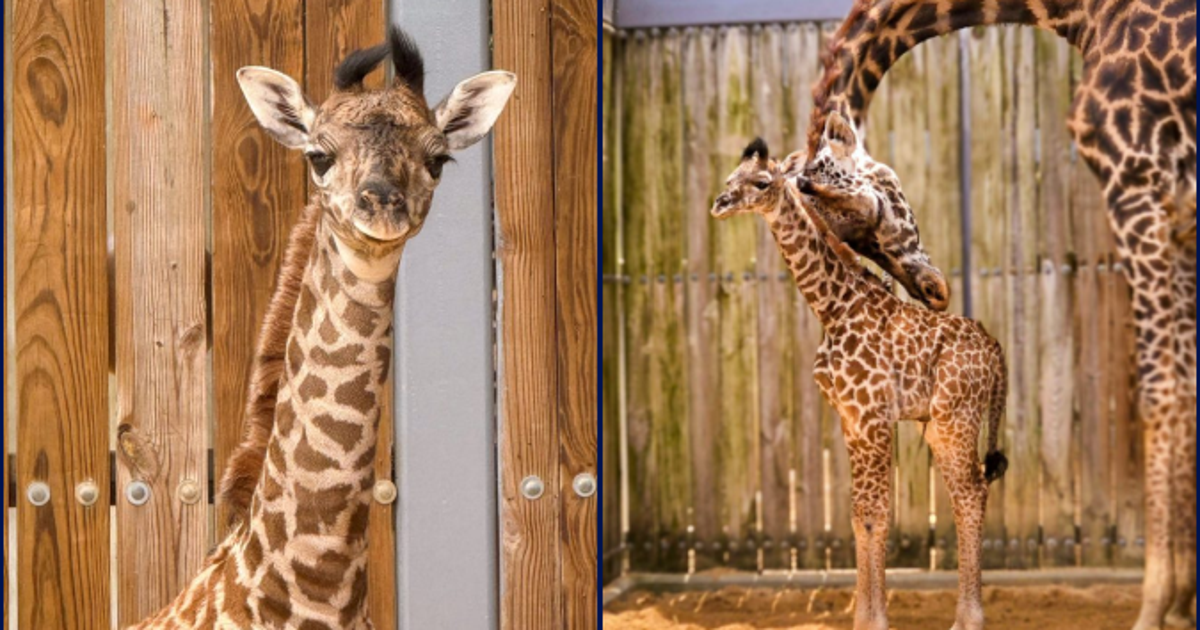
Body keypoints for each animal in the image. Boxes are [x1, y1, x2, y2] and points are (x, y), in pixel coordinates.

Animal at [713, 135, 1008, 630]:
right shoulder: (850, 419)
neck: (833, 308)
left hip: (958, 419)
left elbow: (877, 514)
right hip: (938, 425)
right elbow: (857, 515)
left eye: (761, 182)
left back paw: (968, 619)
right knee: (967, 492)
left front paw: (876, 620)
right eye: (730, 177)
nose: (720, 203)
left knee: (971, 493)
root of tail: (995, 351)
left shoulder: (874, 417)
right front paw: (863, 618)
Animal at [791, 3, 1195, 628]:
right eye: (852, 239)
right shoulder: (1175, 210)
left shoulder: (1138, 182)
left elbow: (1161, 395)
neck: (1089, 16)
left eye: (869, 209)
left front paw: (1157, 605)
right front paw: (1180, 600)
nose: (933, 291)